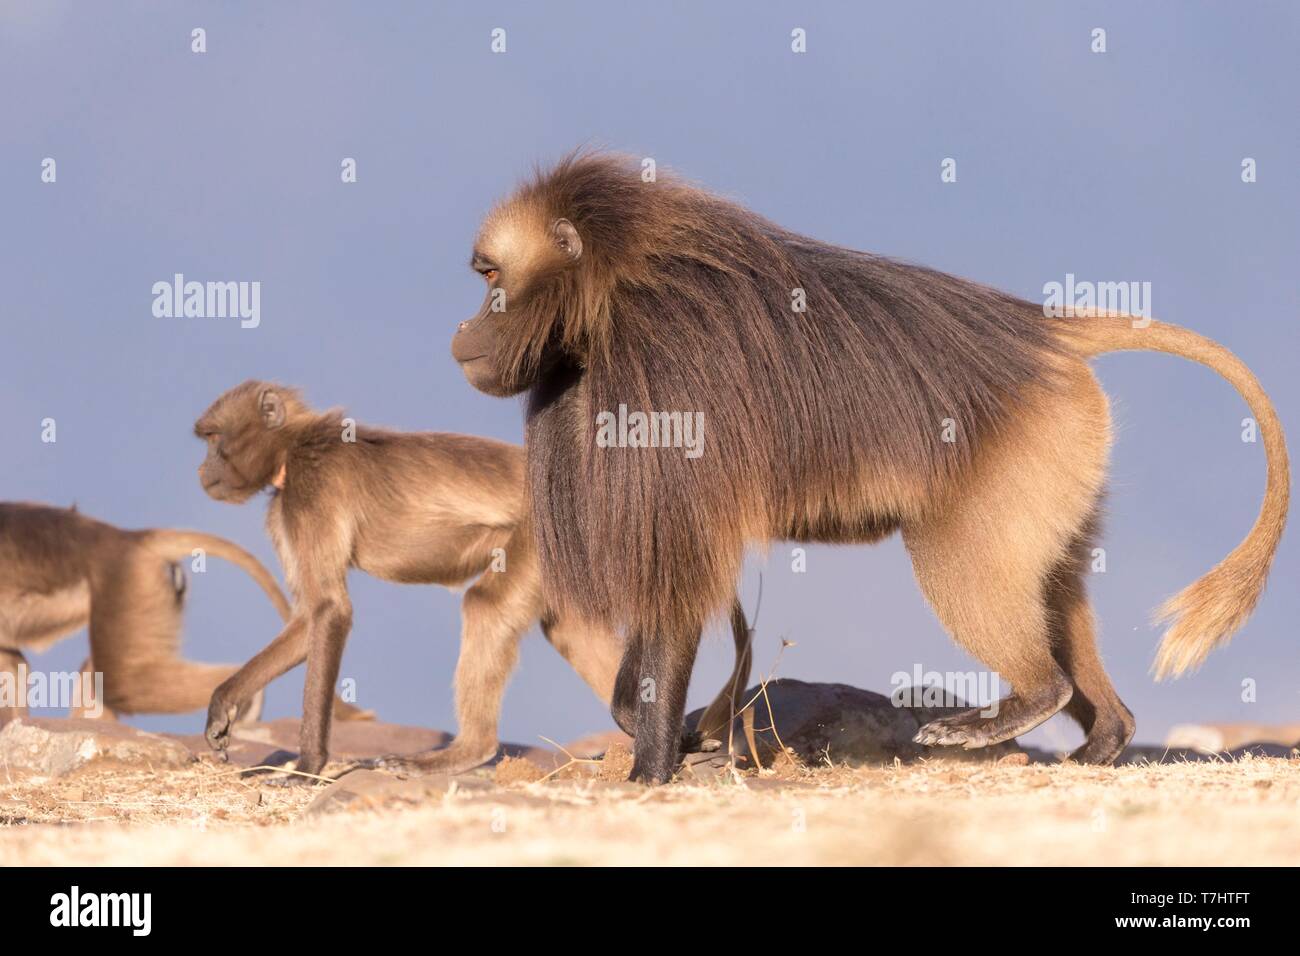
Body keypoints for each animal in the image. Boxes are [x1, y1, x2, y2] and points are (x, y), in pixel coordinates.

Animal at [193, 381, 752, 781]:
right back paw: (664, 734)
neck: (295, 444)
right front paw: (222, 708)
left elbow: (329, 611)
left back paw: (463, 752)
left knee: (487, 604)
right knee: (565, 628)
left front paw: (307, 767)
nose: (202, 472)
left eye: (215, 440)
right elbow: (307, 618)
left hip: (538, 541)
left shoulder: (309, 492)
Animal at [450, 151, 1289, 784]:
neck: (610, 285)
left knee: (968, 570)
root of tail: (1036, 333)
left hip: (1025, 452)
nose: (462, 334)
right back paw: (1102, 739)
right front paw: (680, 732)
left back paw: (1024, 703)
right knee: (1056, 588)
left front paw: (652, 768)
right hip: (1067, 456)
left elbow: (674, 577)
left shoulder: (661, 383)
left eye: (490, 279)